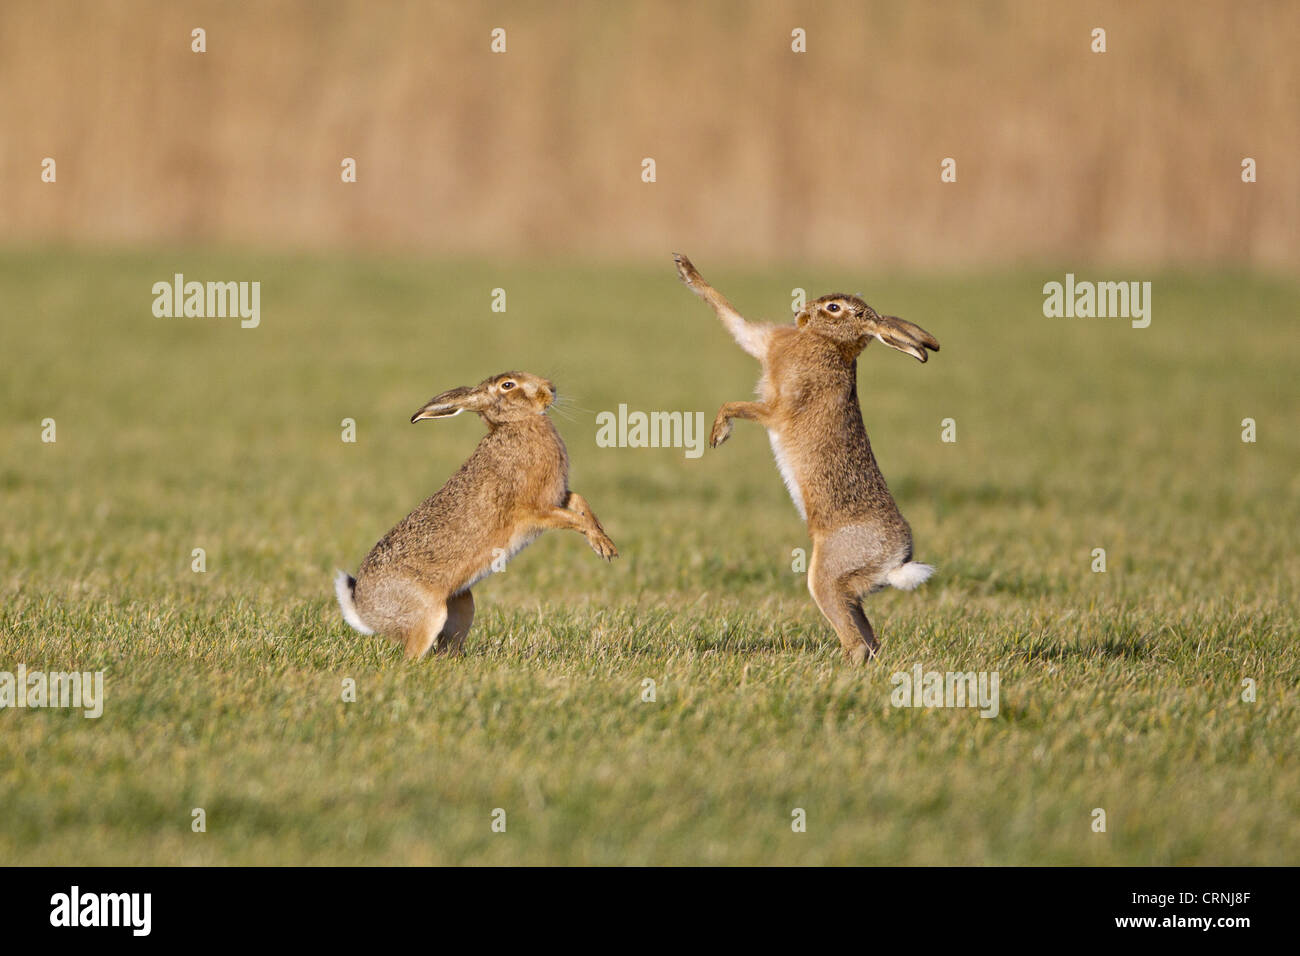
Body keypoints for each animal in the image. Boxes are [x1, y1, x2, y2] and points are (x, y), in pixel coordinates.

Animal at [334, 371, 617, 660]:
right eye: (508, 385)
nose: (551, 389)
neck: (514, 424)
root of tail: (363, 610)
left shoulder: (558, 497)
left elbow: (579, 502)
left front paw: (603, 539)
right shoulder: (534, 511)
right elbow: (572, 519)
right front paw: (603, 547)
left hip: (462, 605)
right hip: (428, 615)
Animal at [673, 254, 939, 664]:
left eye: (834, 308)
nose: (800, 313)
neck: (828, 343)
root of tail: (897, 561)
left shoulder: (777, 410)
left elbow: (736, 404)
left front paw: (719, 433)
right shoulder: (762, 345)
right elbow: (732, 318)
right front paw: (685, 269)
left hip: (826, 576)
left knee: (856, 641)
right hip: (850, 591)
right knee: (870, 639)